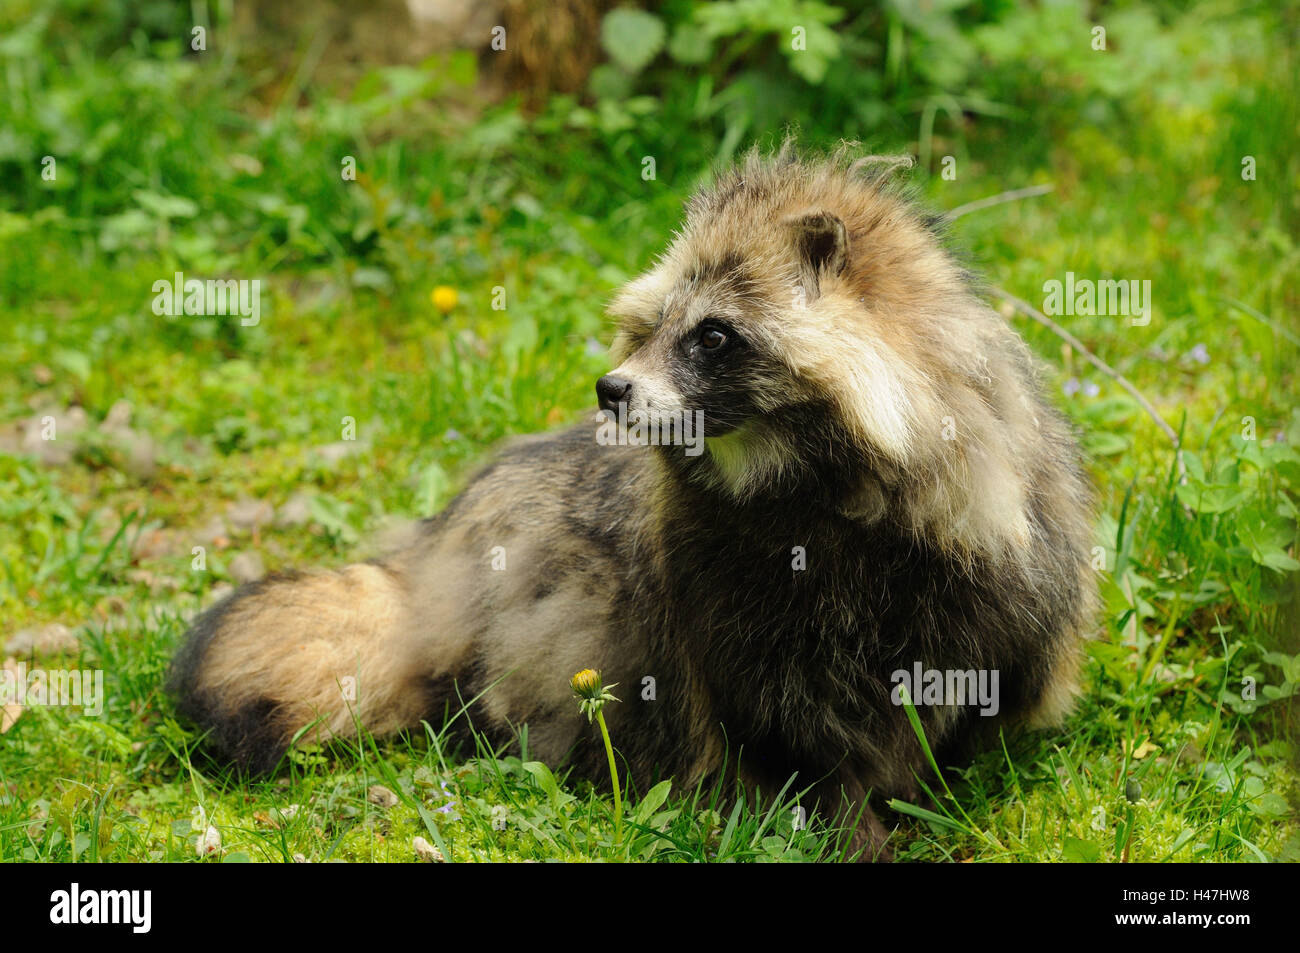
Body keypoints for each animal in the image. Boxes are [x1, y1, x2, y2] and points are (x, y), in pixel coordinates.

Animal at [168, 143, 1096, 859]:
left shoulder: (994, 574)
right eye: (647, 327)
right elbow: (772, 720)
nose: (610, 389)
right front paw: (832, 817)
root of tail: (436, 550)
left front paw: (919, 800)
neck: (793, 482)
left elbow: (966, 690)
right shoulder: (721, 589)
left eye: (712, 335)